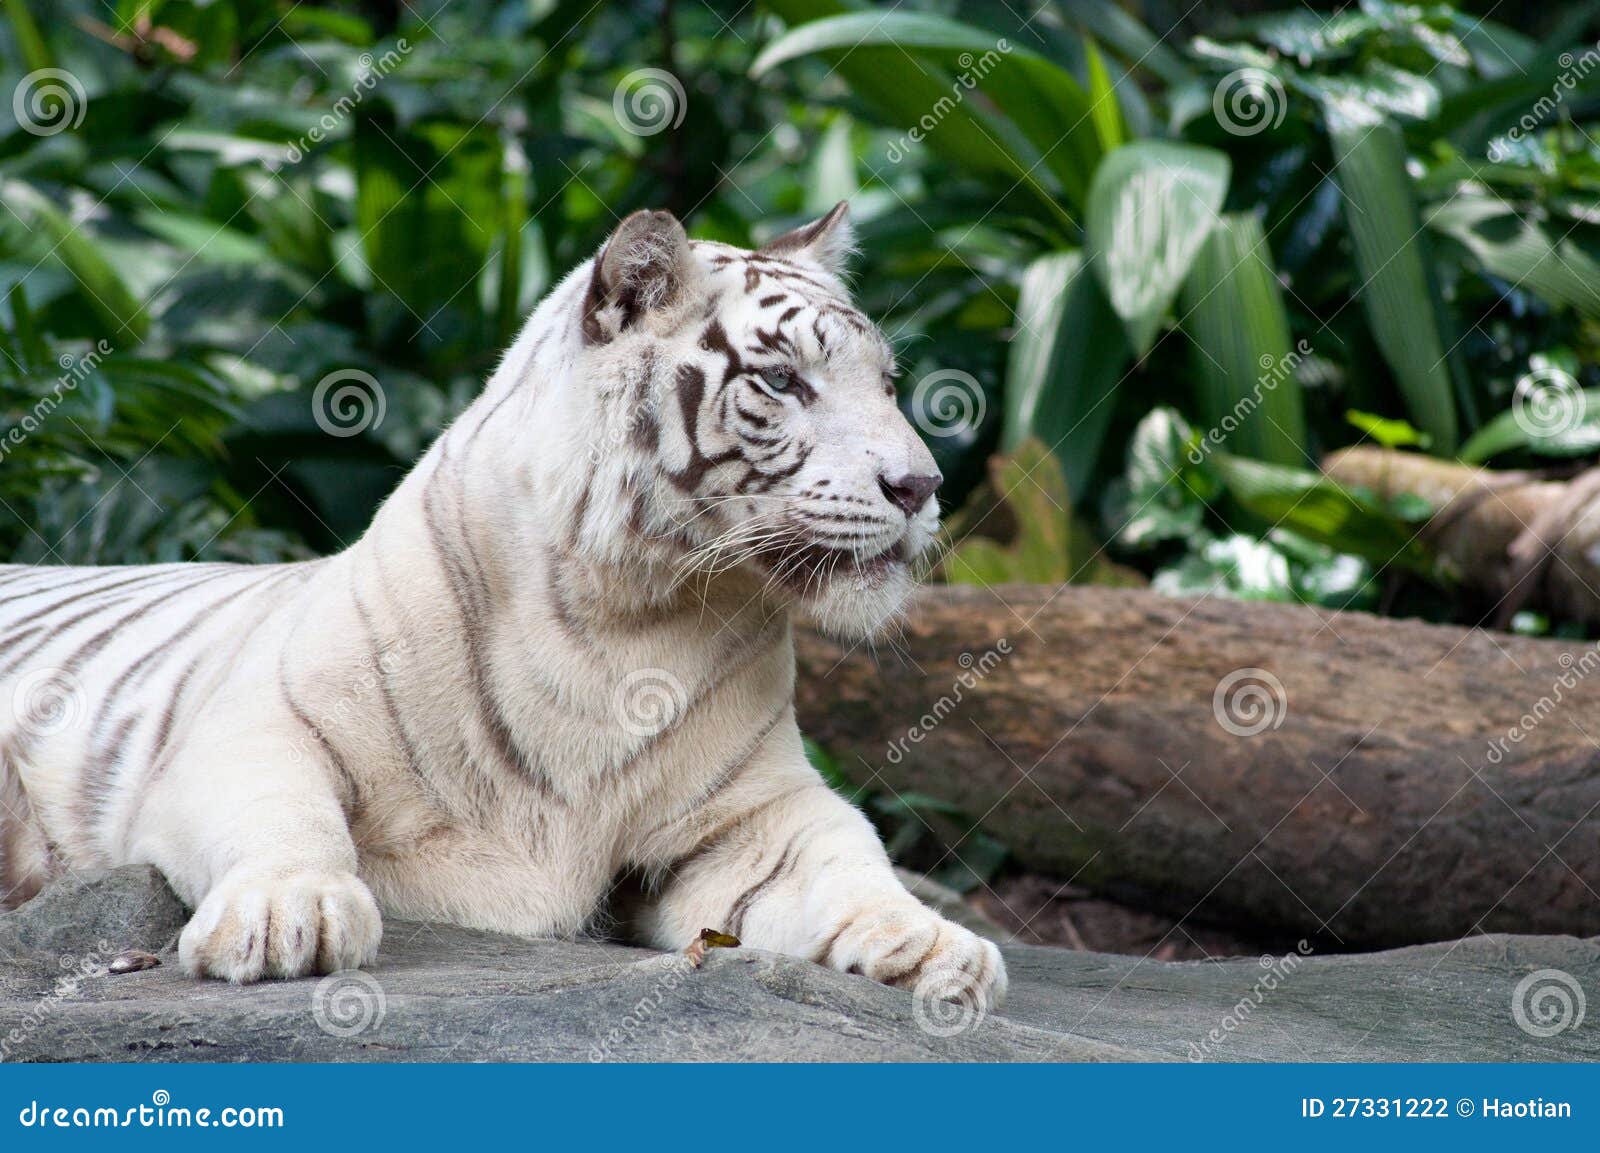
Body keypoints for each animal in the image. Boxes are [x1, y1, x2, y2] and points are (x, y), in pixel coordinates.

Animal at [0, 202, 1005, 1009]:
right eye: (784, 381)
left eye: (886, 384)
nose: (922, 485)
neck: (630, 611)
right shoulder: (251, 725)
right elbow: (281, 806)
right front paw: (290, 913)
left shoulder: (754, 810)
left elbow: (848, 854)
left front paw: (934, 946)